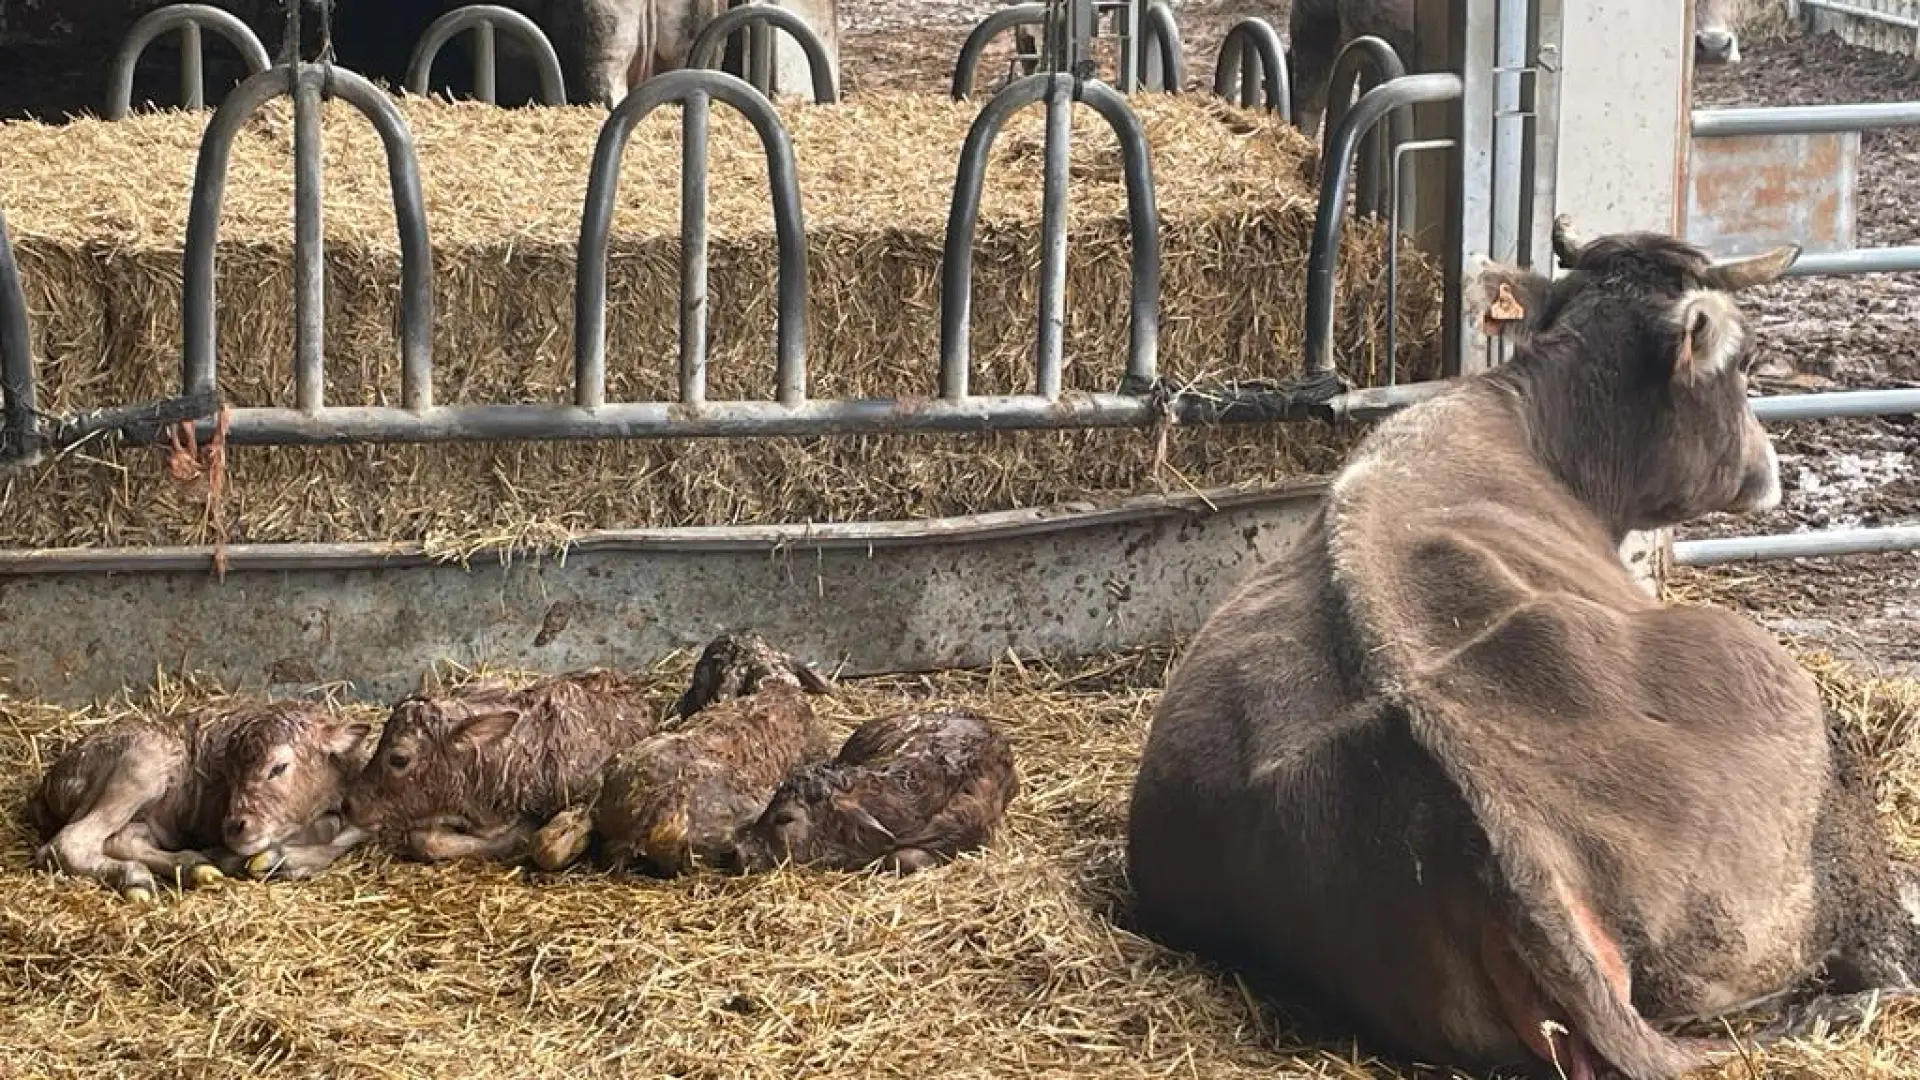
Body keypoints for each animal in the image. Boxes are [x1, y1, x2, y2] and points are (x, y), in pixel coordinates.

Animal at [28, 700, 373, 901]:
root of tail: (52, 781)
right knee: (67, 842)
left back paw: (196, 866)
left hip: (153, 818)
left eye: (278, 767)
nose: (234, 826)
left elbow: (349, 835)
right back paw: (136, 878)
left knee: (120, 838)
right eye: (229, 774)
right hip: (141, 765)